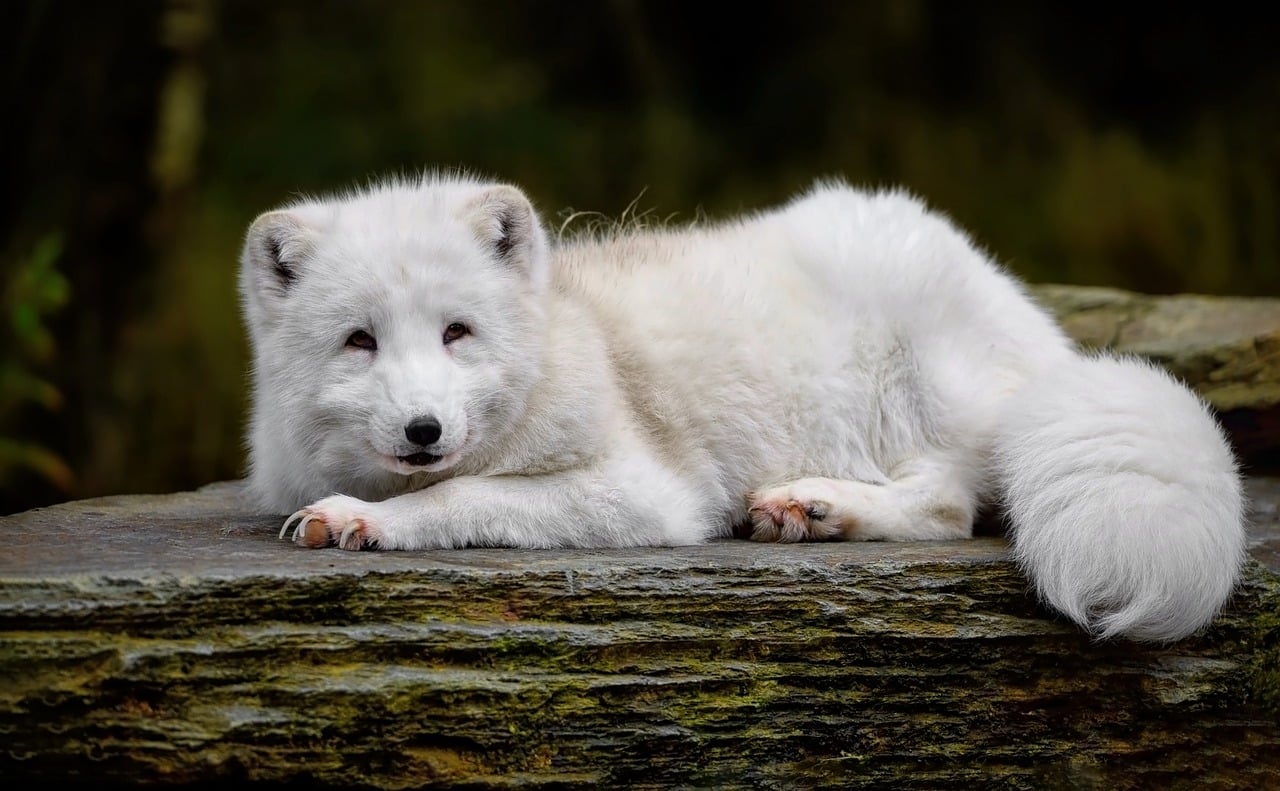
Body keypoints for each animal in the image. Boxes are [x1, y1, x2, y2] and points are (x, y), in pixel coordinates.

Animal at [238, 171, 1245, 643]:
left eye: (457, 332)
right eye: (360, 341)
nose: (424, 429)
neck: (574, 328)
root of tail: (1041, 331)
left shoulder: (646, 492)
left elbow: (459, 496)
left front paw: (365, 519)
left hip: (920, 381)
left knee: (950, 505)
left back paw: (818, 503)